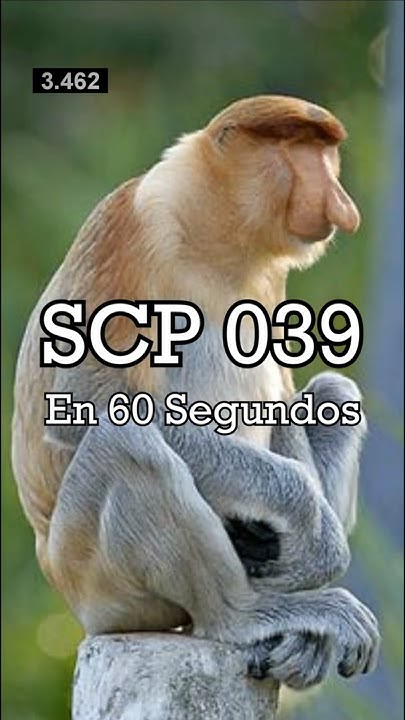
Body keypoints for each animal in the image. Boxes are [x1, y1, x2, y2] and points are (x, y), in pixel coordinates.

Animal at [12, 95, 380, 692]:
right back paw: (247, 615)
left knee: (335, 389)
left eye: (327, 154)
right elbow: (82, 397)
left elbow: (283, 400)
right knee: (125, 443)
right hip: (95, 579)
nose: (343, 207)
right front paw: (311, 526)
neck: (219, 236)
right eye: (298, 151)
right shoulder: (130, 225)